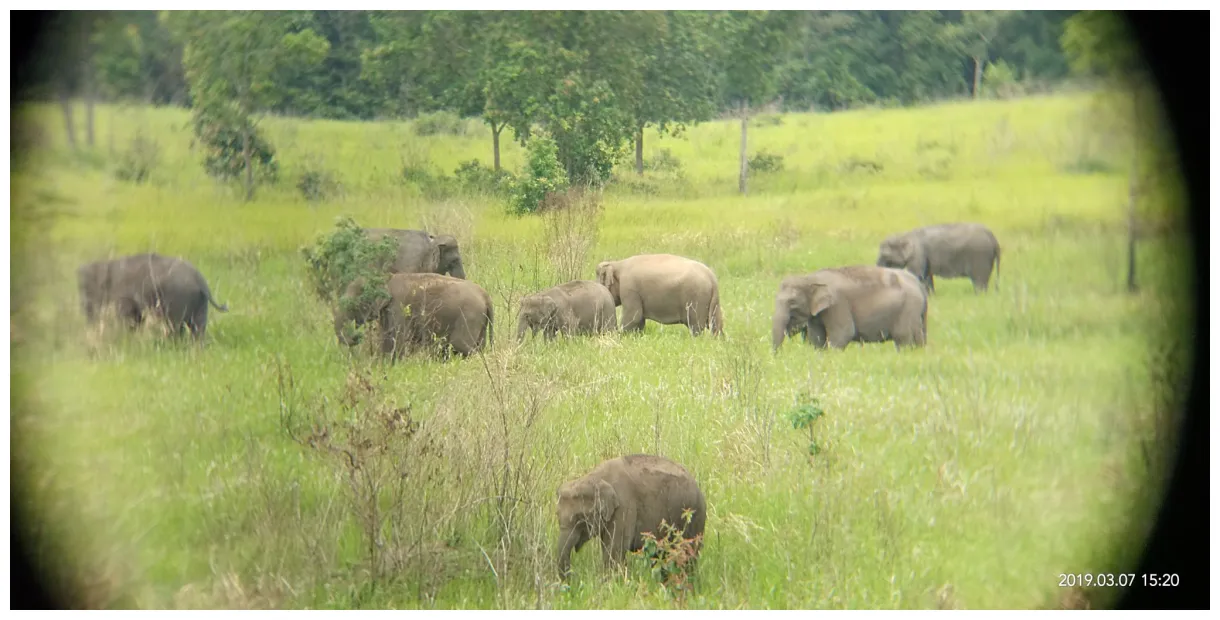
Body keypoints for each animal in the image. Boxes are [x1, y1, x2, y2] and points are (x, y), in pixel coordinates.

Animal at [76, 253, 229, 341]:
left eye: (86, 289)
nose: (90, 325)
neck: (108, 263)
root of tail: (201, 281)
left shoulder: (124, 294)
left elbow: (127, 316)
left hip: (179, 298)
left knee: (176, 326)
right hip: (200, 303)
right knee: (197, 328)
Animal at [333, 272, 492, 360]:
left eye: (354, 302)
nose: (356, 337)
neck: (385, 277)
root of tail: (486, 296)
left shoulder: (398, 307)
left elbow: (397, 339)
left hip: (469, 316)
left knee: (461, 346)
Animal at [556, 454, 707, 580]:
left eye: (580, 519)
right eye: (557, 516)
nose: (573, 579)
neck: (594, 478)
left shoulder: (624, 507)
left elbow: (614, 551)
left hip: (693, 518)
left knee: (686, 556)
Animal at [595, 254, 723, 336]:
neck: (617, 264)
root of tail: (712, 278)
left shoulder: (629, 288)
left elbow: (634, 316)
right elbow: (640, 320)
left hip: (696, 298)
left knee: (696, 326)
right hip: (713, 301)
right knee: (716, 325)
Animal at [772, 265, 927, 352]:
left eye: (792, 302)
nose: (778, 356)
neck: (810, 278)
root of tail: (918, 284)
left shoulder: (837, 304)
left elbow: (843, 334)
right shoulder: (817, 313)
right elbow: (817, 338)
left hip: (908, 309)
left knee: (903, 338)